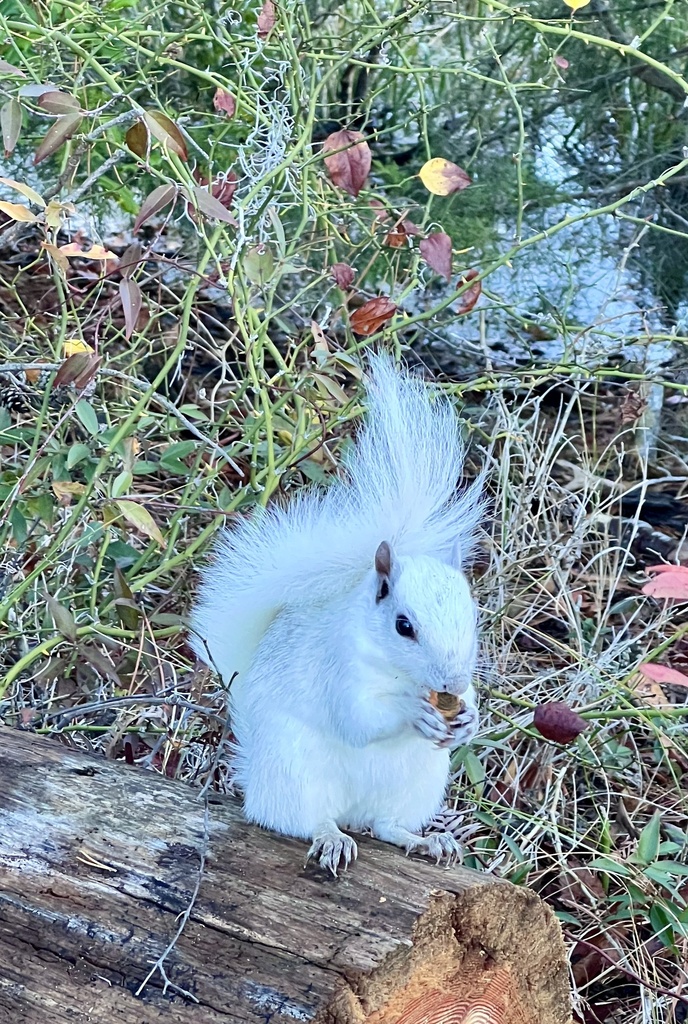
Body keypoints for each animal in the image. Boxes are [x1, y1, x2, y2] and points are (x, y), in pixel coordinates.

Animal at [190, 355, 485, 876]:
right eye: (403, 626)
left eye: (472, 616)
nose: (451, 684)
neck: (397, 673)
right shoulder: (337, 671)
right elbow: (358, 718)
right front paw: (410, 712)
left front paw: (467, 719)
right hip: (298, 773)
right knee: (309, 821)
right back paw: (331, 838)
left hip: (415, 784)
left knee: (386, 826)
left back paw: (428, 841)